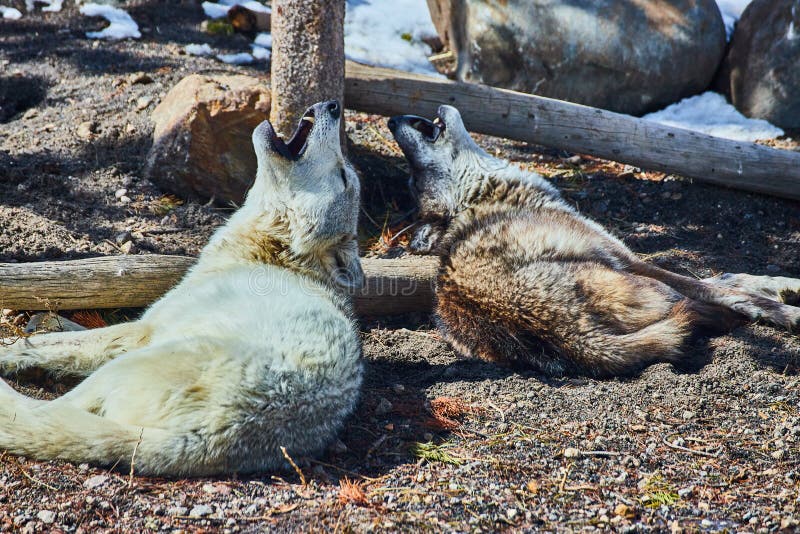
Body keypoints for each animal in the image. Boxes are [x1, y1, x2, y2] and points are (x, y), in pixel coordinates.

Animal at [0, 100, 364, 476]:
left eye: (343, 176)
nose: (333, 106)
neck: (268, 256)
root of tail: (207, 441)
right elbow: (66, 333)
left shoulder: (142, 330)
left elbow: (54, 344)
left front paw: (12, 350)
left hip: (131, 362)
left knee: (47, 412)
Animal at [388, 105, 800, 377]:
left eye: (411, 176)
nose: (392, 121)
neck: (489, 195)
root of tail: (572, 338)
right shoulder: (631, 260)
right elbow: (732, 289)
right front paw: (786, 308)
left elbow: (731, 277)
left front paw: (784, 285)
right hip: (645, 284)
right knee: (698, 310)